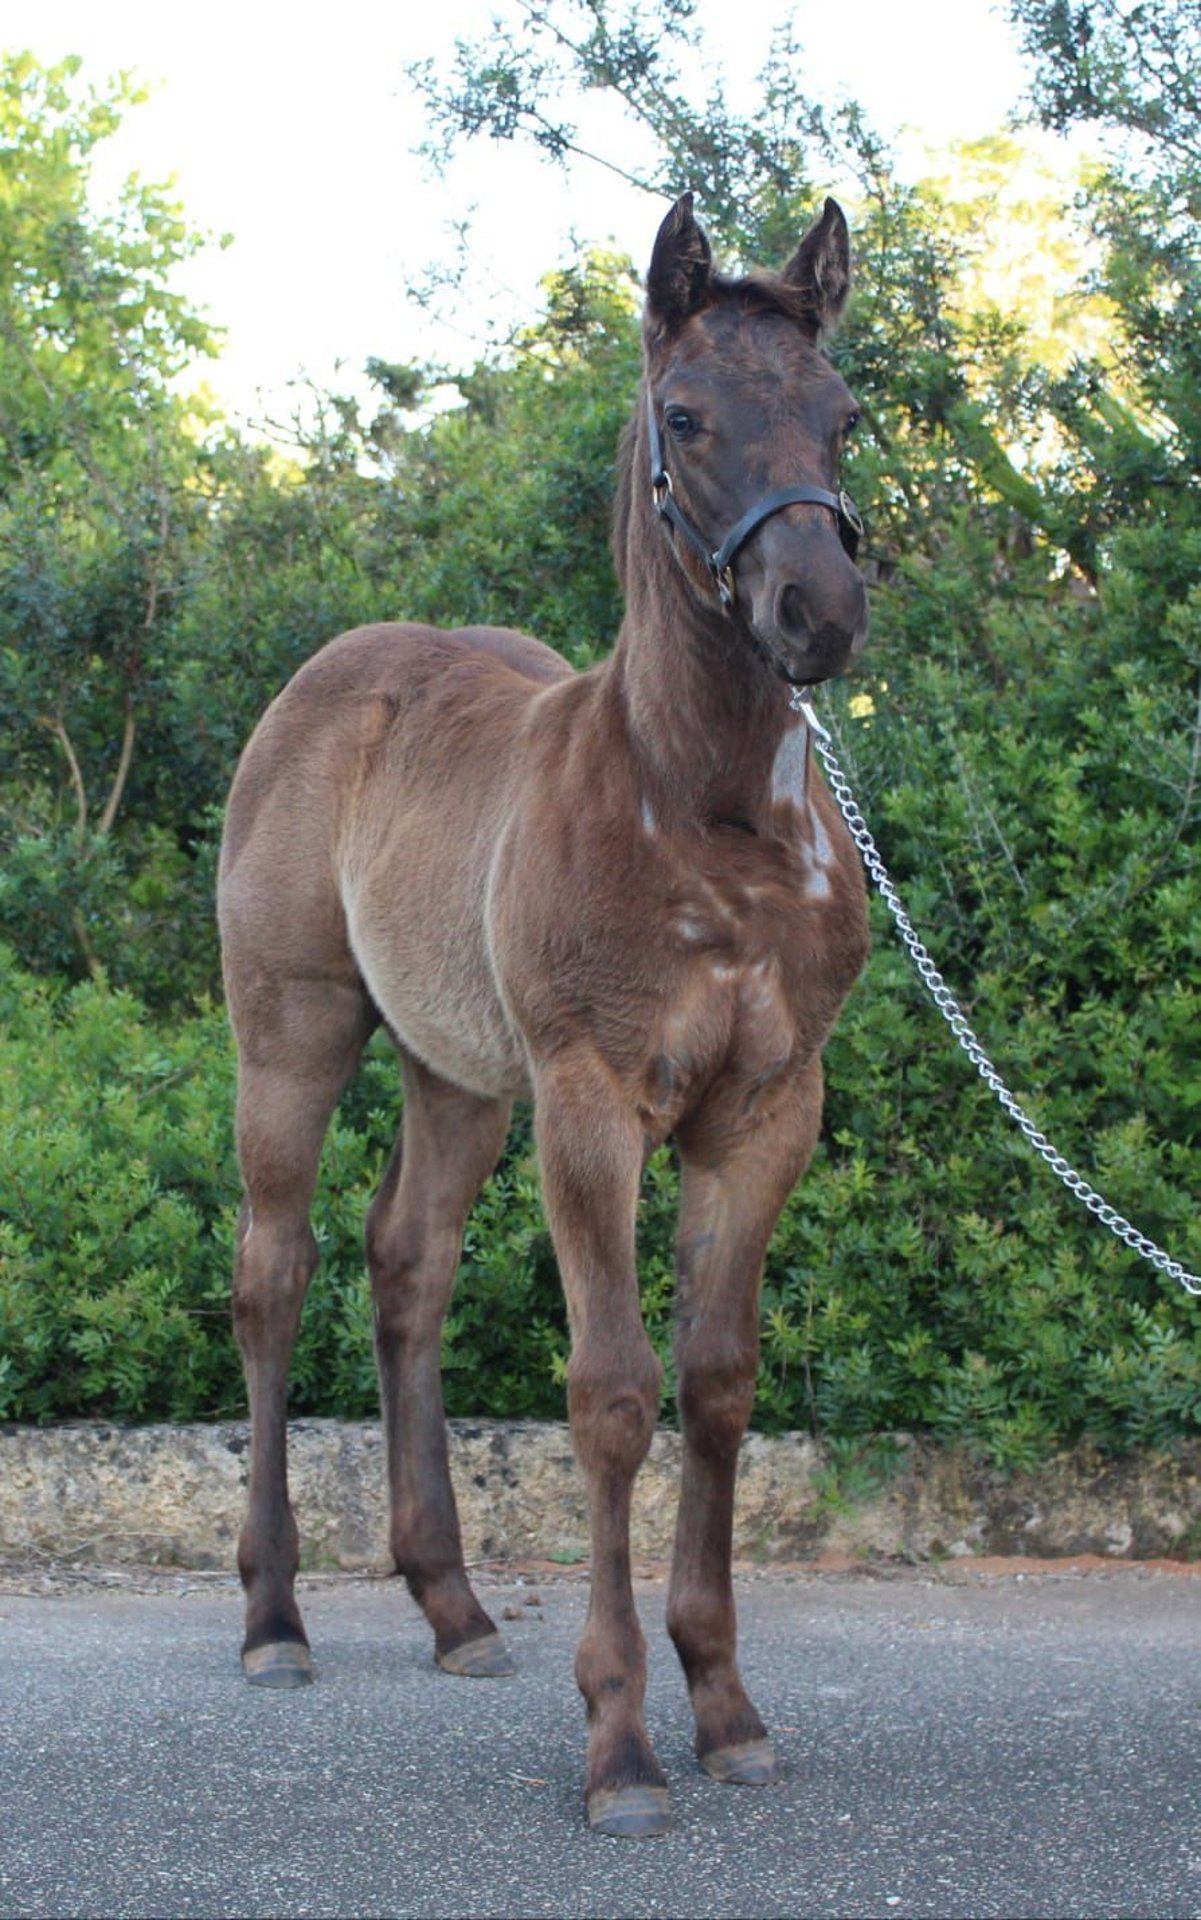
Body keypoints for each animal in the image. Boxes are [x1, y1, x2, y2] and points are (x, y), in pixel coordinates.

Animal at [218, 193, 871, 1839]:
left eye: (841, 416)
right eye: (685, 415)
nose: (819, 612)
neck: (710, 820)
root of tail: (335, 670)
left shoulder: (766, 1111)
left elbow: (717, 1388)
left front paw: (726, 1708)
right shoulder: (592, 1099)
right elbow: (613, 1396)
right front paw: (622, 1745)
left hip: (458, 1074)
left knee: (407, 1265)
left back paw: (451, 1608)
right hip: (293, 1035)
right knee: (274, 1274)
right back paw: (273, 1620)